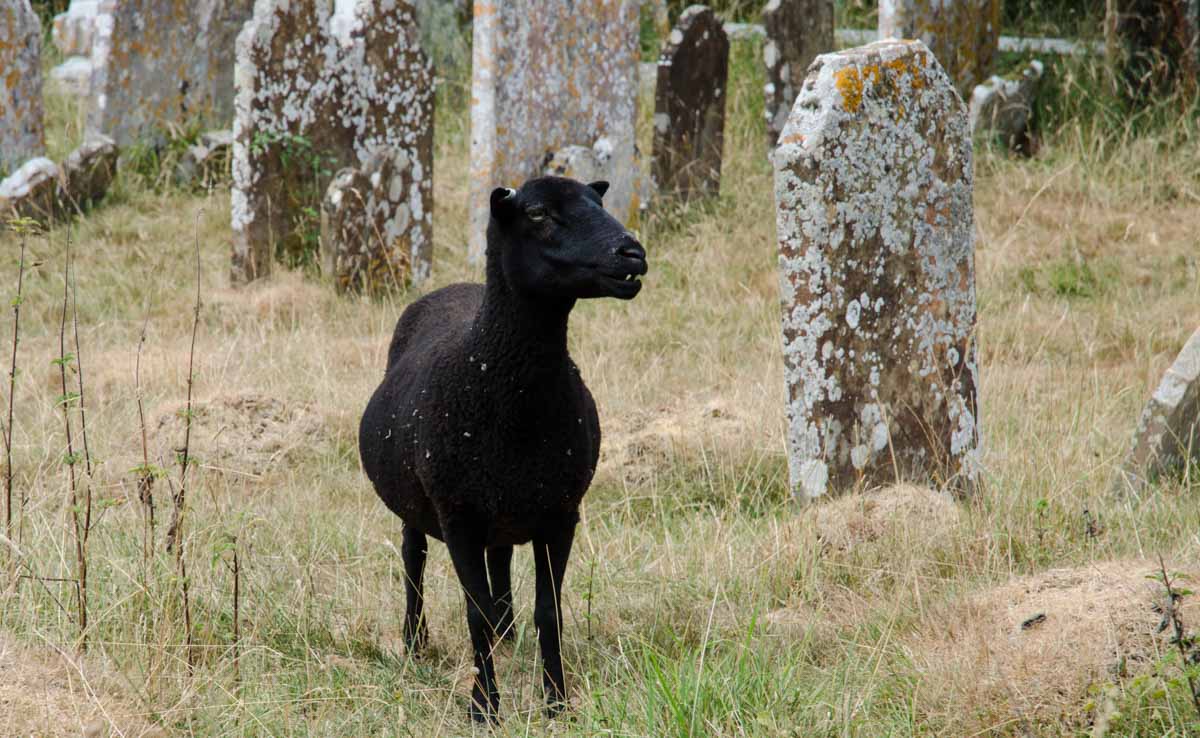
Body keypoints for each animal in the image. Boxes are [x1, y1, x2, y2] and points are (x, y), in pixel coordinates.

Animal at [358, 176, 648, 722]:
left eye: (597, 201)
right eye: (537, 214)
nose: (632, 253)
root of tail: (456, 288)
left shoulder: (561, 513)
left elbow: (549, 611)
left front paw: (557, 700)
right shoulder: (459, 517)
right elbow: (472, 613)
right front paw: (484, 707)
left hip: (508, 506)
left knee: (501, 563)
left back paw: (506, 632)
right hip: (421, 501)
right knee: (413, 558)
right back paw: (415, 641)